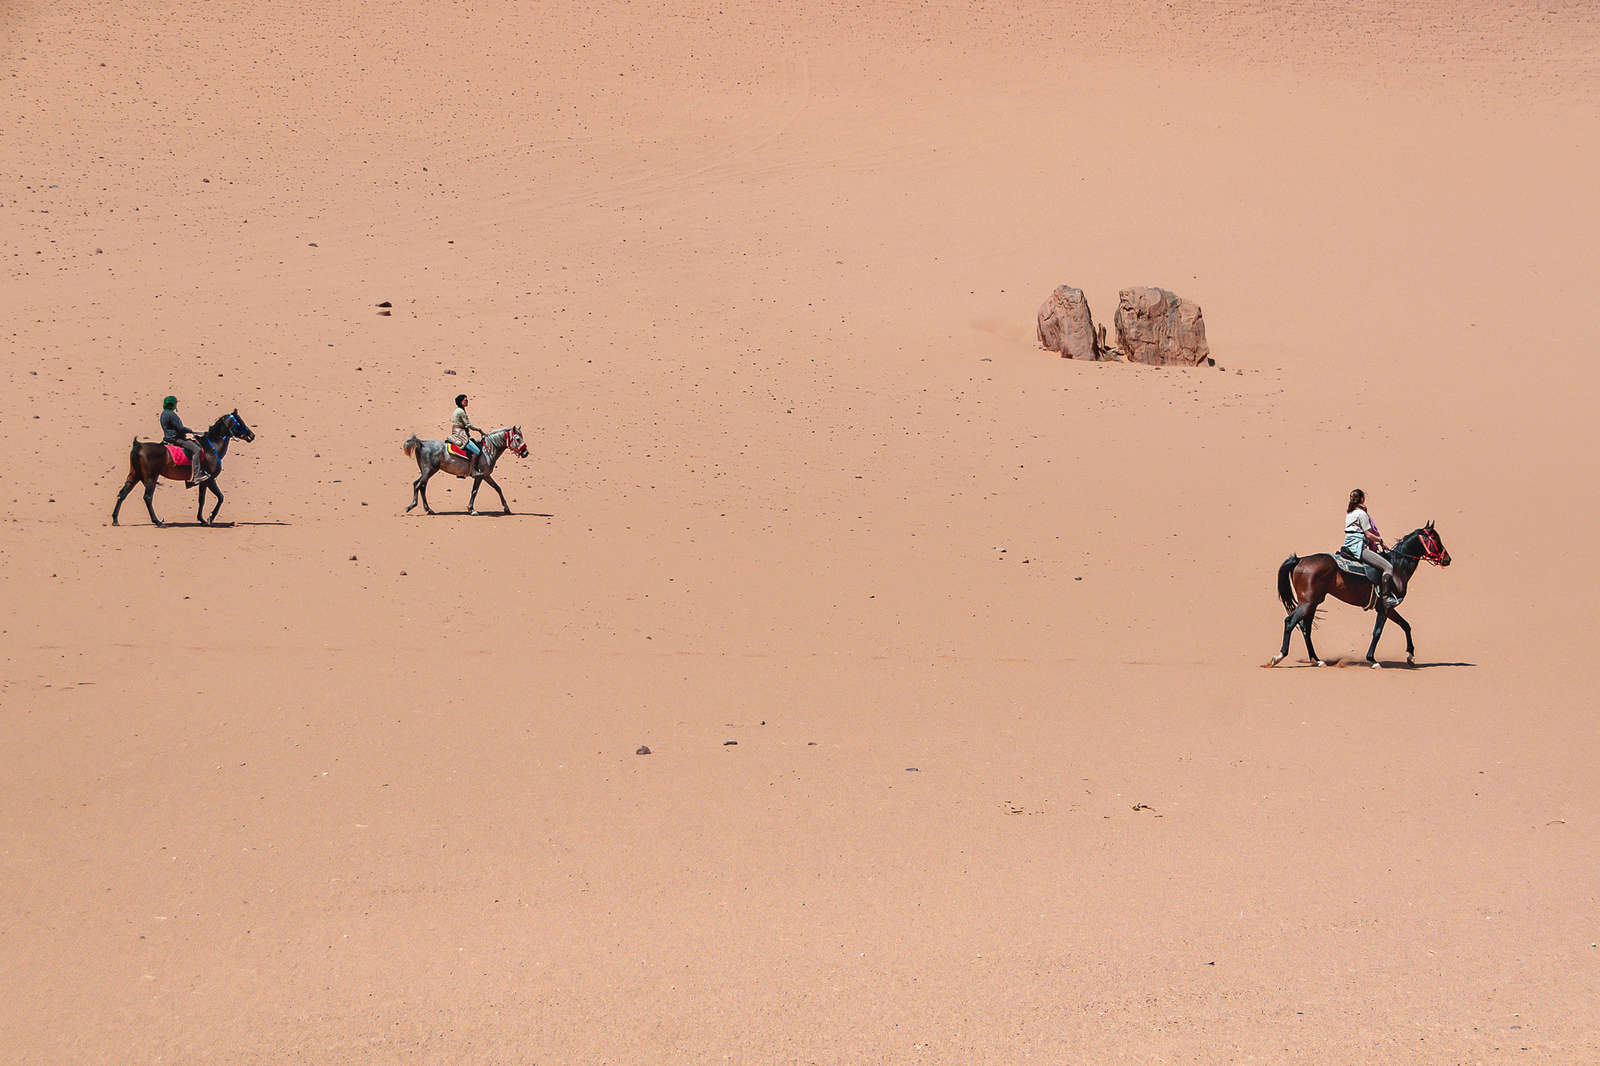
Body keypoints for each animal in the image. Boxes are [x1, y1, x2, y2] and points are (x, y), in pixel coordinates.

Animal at [112, 410, 256, 527]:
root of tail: (138, 445)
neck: (212, 446)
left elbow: (201, 500)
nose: (252, 435)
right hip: (150, 478)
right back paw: (158, 522)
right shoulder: (210, 479)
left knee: (123, 493)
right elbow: (220, 497)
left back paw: (115, 520)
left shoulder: (203, 481)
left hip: (134, 475)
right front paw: (210, 518)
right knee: (147, 497)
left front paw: (202, 519)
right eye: (240, 422)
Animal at [1267, 522, 1451, 669]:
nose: (1447, 559)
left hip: (1312, 603)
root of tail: (1300, 559)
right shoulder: (1385, 606)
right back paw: (1278, 657)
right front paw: (1372, 660)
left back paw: (1316, 659)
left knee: (1306, 628)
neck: (1397, 567)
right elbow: (1377, 632)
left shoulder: (1387, 607)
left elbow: (1405, 625)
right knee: (1290, 622)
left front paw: (1411, 656)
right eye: (1436, 539)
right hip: (1307, 603)